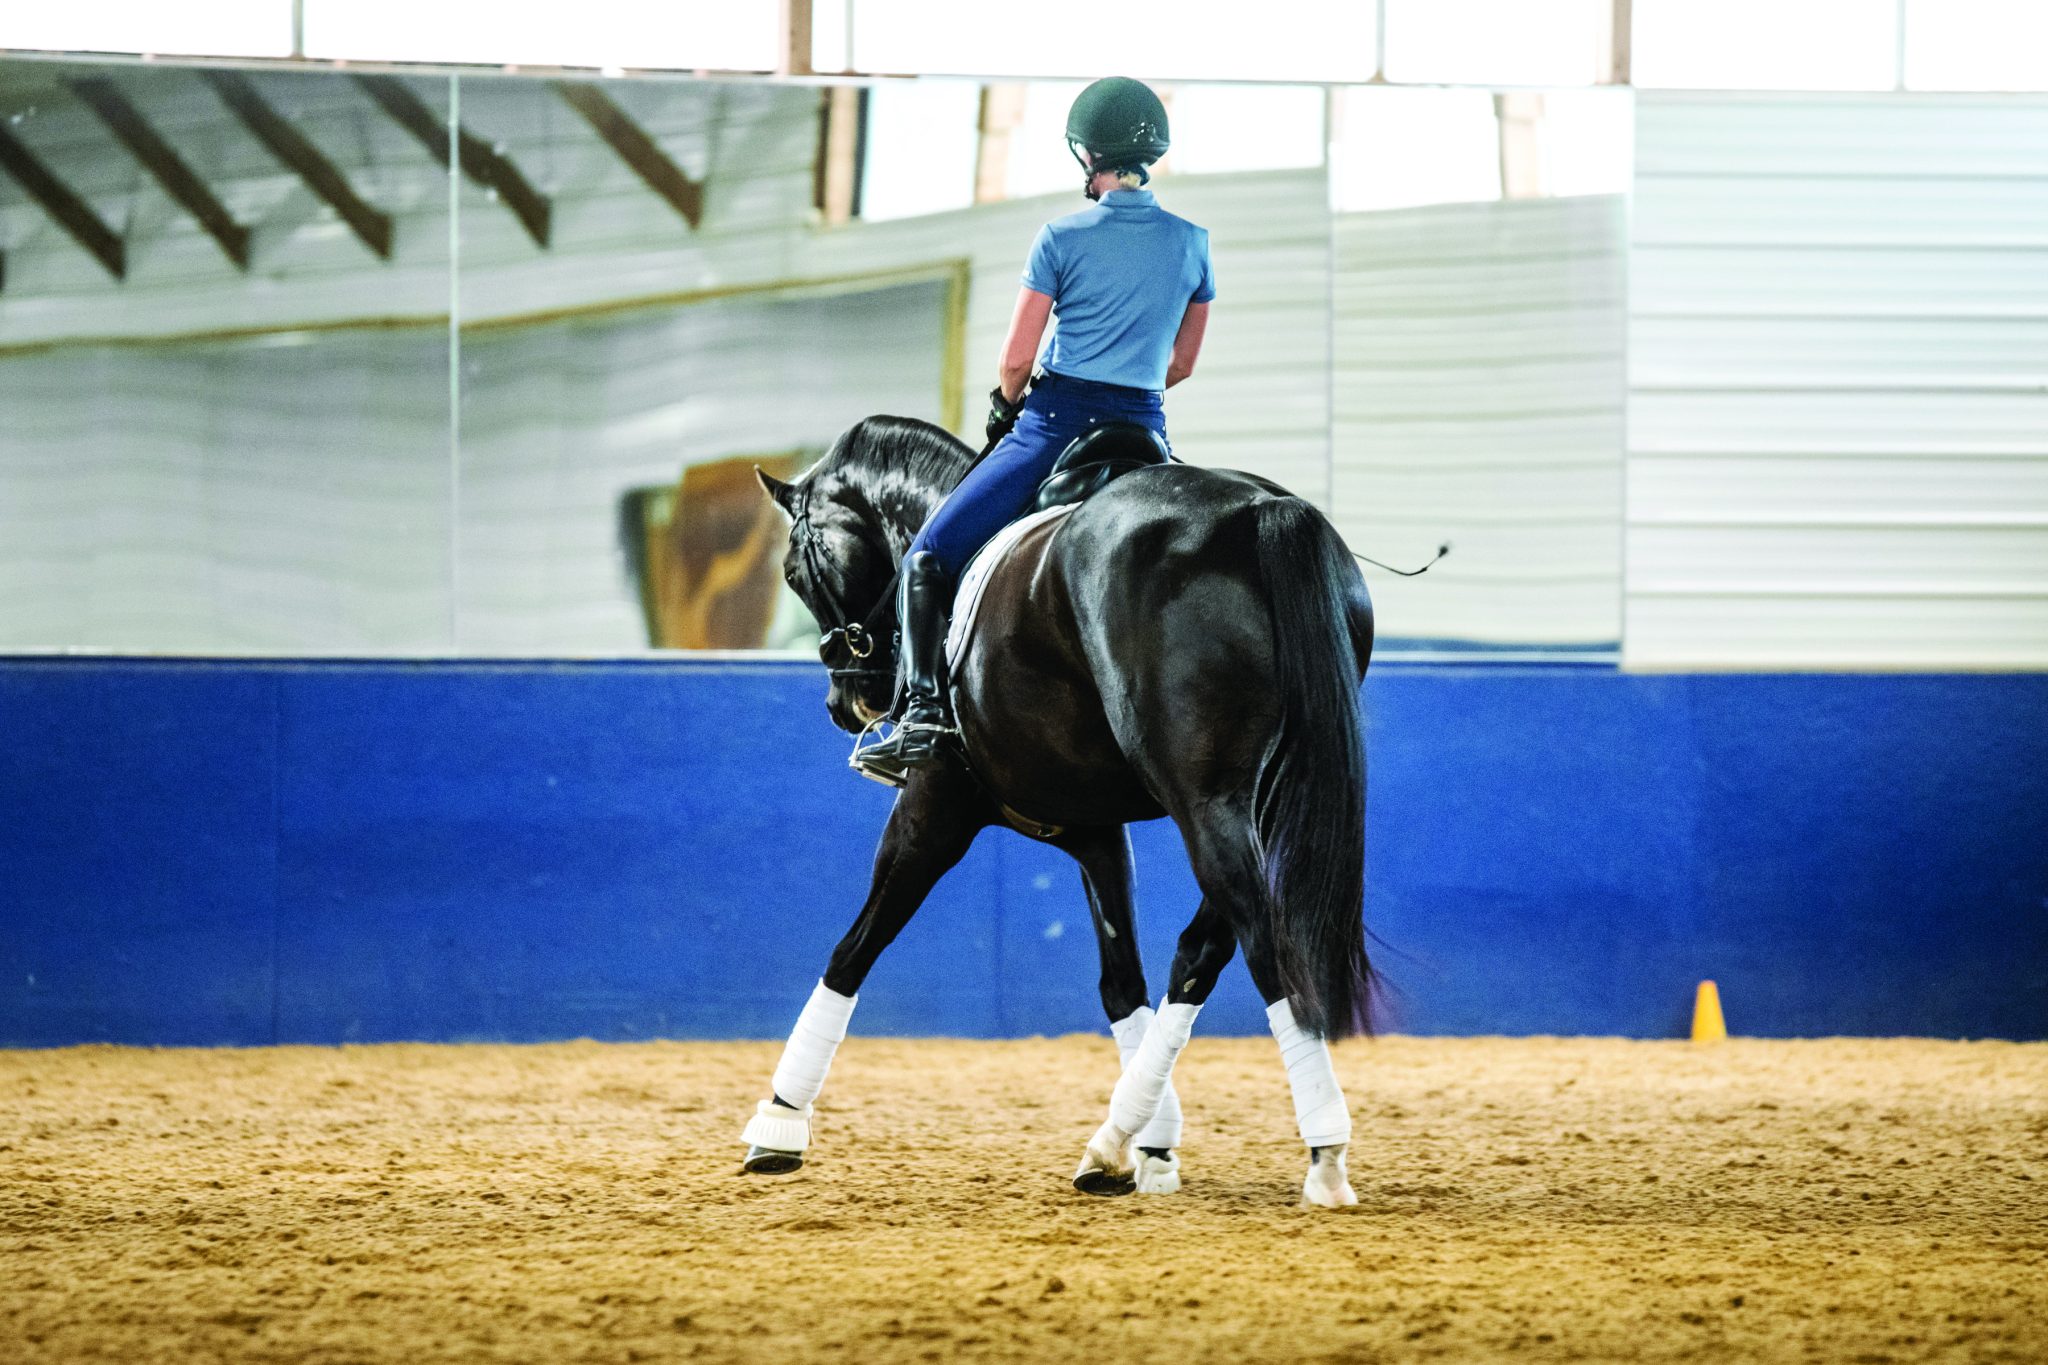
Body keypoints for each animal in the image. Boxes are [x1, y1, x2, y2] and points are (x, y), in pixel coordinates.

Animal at [747, 413, 1375, 1206]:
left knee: (1263, 938)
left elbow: (854, 948)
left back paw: (1325, 1152)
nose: (846, 701)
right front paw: (1152, 1144)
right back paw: (1116, 1137)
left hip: (1205, 801)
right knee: (1204, 948)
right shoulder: (1097, 833)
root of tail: (1259, 511)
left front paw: (779, 1121)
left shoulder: (934, 808)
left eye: (795, 573)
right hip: (1245, 801)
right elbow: (1120, 983)